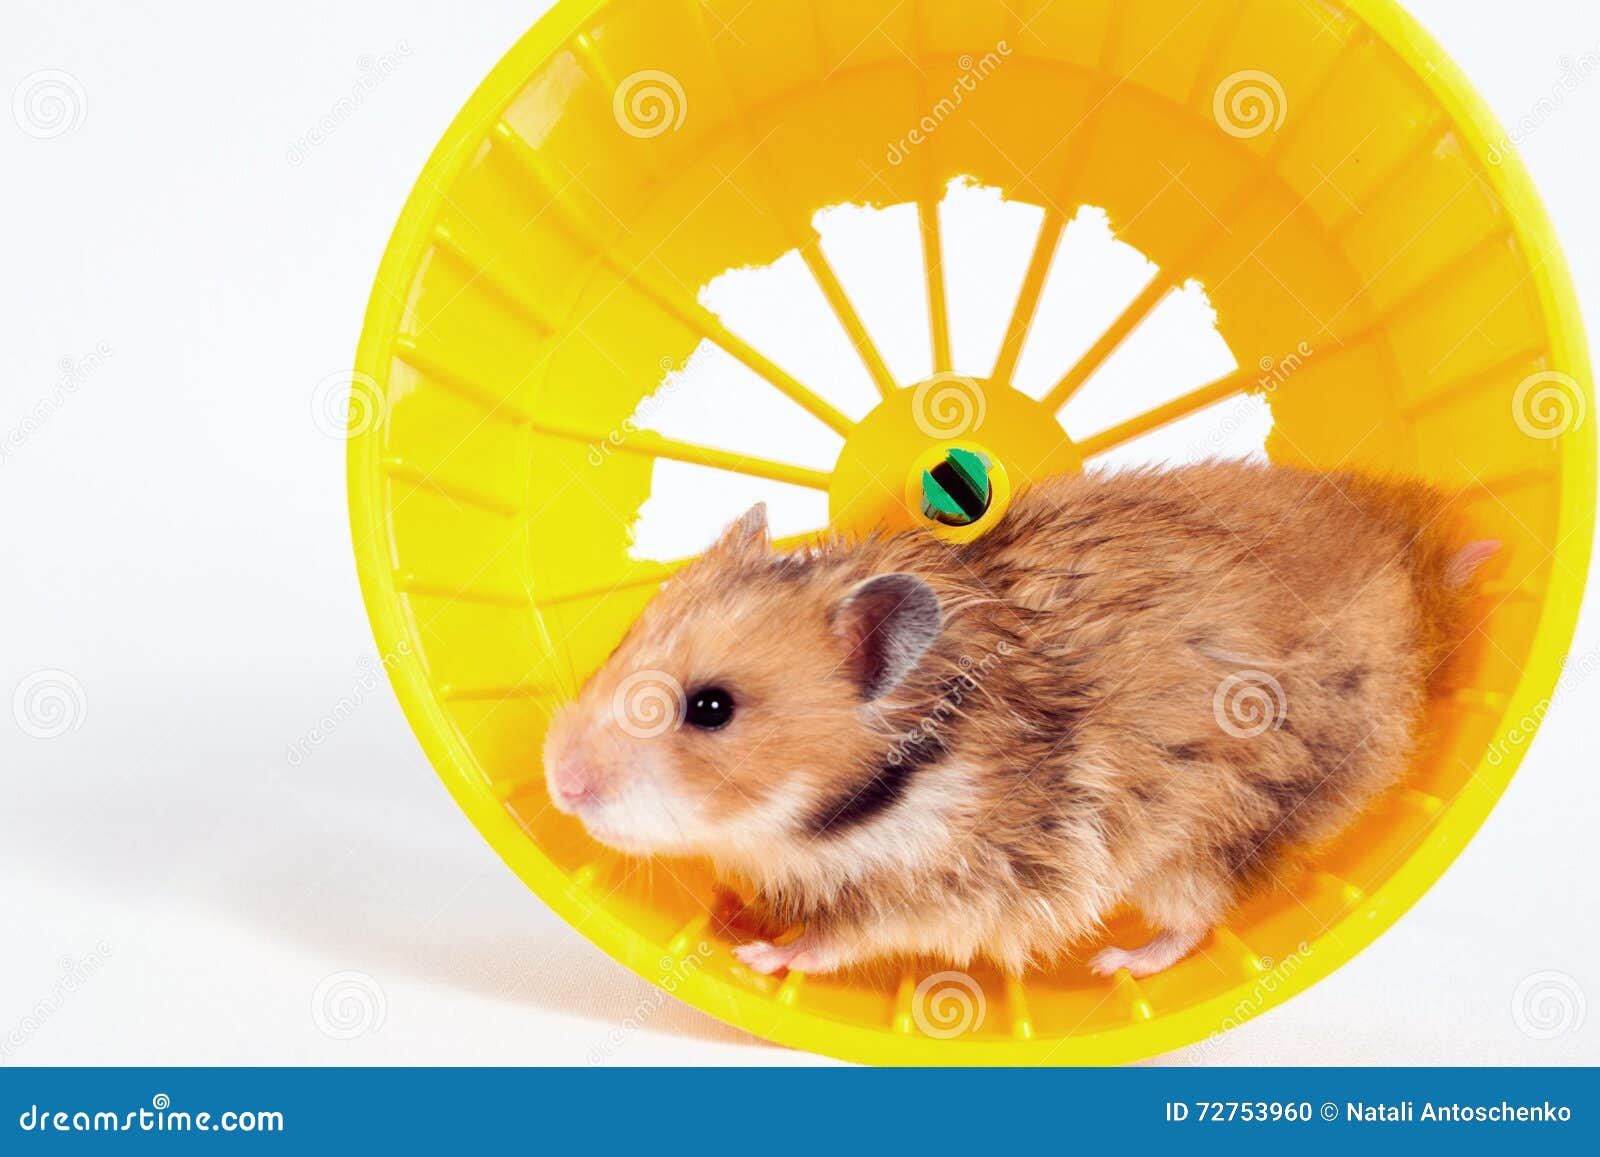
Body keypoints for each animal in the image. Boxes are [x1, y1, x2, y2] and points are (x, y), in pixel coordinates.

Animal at [542, 461, 1497, 978]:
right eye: (624, 640)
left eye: (711, 708)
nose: (557, 780)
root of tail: (1415, 582)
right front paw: (735, 917)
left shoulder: (944, 888)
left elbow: (839, 936)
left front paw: (759, 957)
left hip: (1197, 838)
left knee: (1194, 919)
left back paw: (1117, 965)